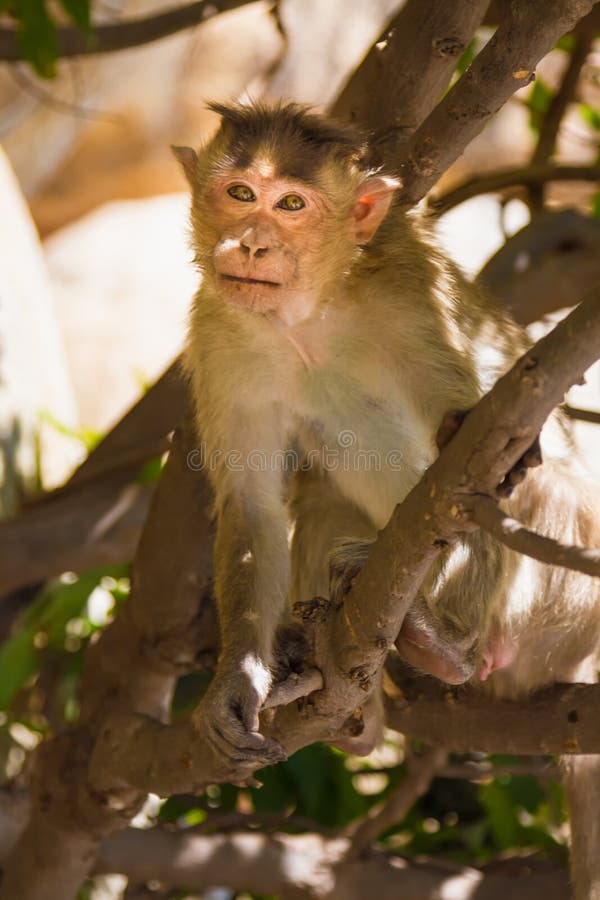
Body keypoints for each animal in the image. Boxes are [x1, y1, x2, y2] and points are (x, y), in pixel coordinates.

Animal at [175, 100, 600, 897]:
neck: (312, 312)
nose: (249, 243)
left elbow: (487, 449)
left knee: (528, 481)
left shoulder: (412, 293)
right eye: (241, 194)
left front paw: (481, 441)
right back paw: (347, 695)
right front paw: (235, 683)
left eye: (291, 205)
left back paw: (444, 643)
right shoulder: (221, 330)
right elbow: (252, 506)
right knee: (317, 497)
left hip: (569, 608)